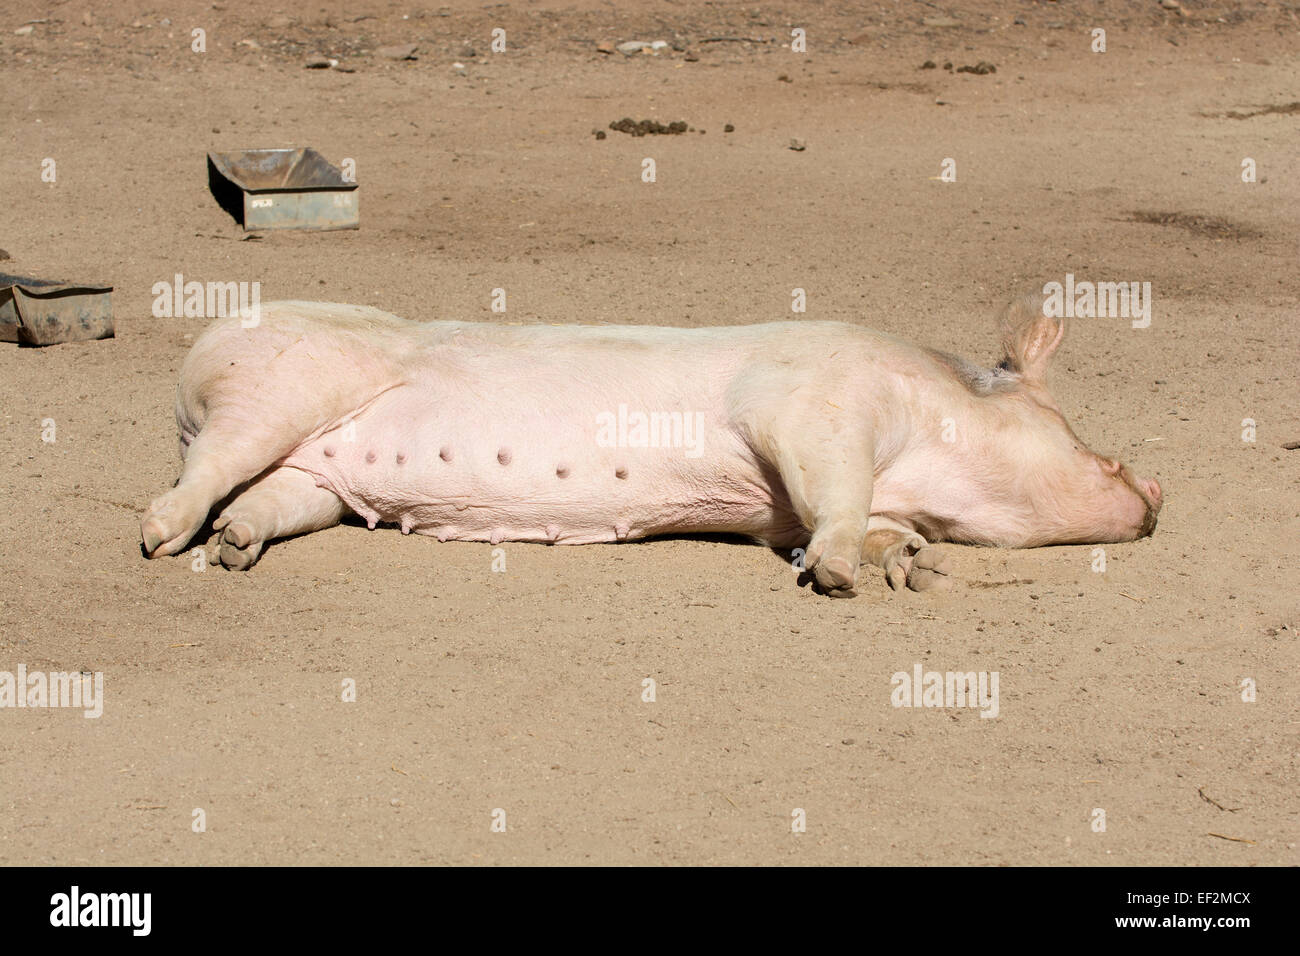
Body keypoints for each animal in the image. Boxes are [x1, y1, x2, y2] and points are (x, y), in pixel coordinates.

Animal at [140, 296, 1162, 596]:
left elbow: (860, 519)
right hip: (272, 391)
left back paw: (233, 553)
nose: (1157, 495)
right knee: (205, 471)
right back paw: (159, 539)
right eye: (1086, 440)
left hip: (320, 473)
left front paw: (917, 567)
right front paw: (838, 579)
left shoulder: (801, 499)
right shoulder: (810, 408)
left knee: (263, 501)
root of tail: (197, 352)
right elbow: (835, 492)